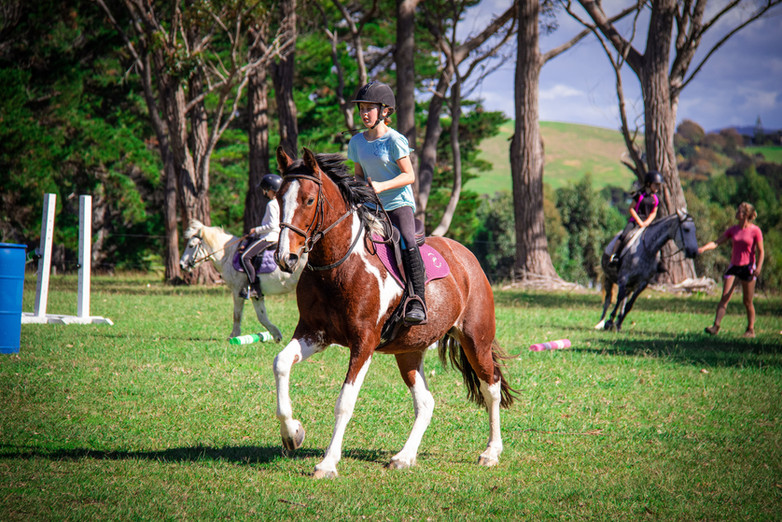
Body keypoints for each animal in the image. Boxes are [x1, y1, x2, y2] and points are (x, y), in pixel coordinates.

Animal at [271, 147, 517, 478]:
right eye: (278, 197)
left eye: (309, 200)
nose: (285, 258)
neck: (339, 266)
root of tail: (467, 257)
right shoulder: (314, 333)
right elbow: (281, 363)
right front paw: (293, 433)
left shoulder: (363, 343)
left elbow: (345, 402)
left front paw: (328, 463)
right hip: (409, 350)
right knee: (426, 402)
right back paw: (404, 456)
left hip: (476, 339)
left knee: (490, 387)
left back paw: (491, 452)